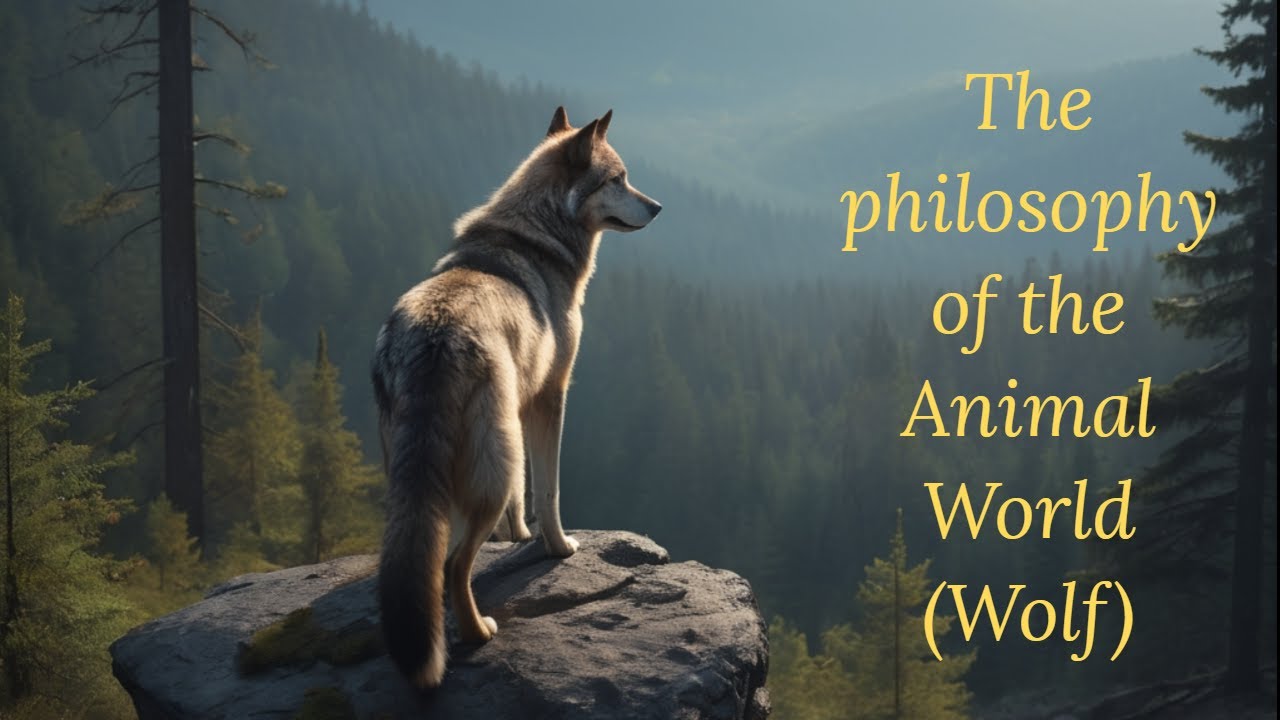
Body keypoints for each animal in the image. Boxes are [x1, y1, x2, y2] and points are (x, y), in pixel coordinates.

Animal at [371, 107, 661, 689]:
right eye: (618, 179)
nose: (658, 207)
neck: (538, 236)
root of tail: (432, 336)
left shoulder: (524, 403)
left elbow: (522, 499)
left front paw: (518, 535)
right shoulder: (551, 396)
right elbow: (547, 487)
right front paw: (556, 545)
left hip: (419, 473)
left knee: (427, 555)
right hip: (493, 459)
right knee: (454, 563)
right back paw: (477, 632)